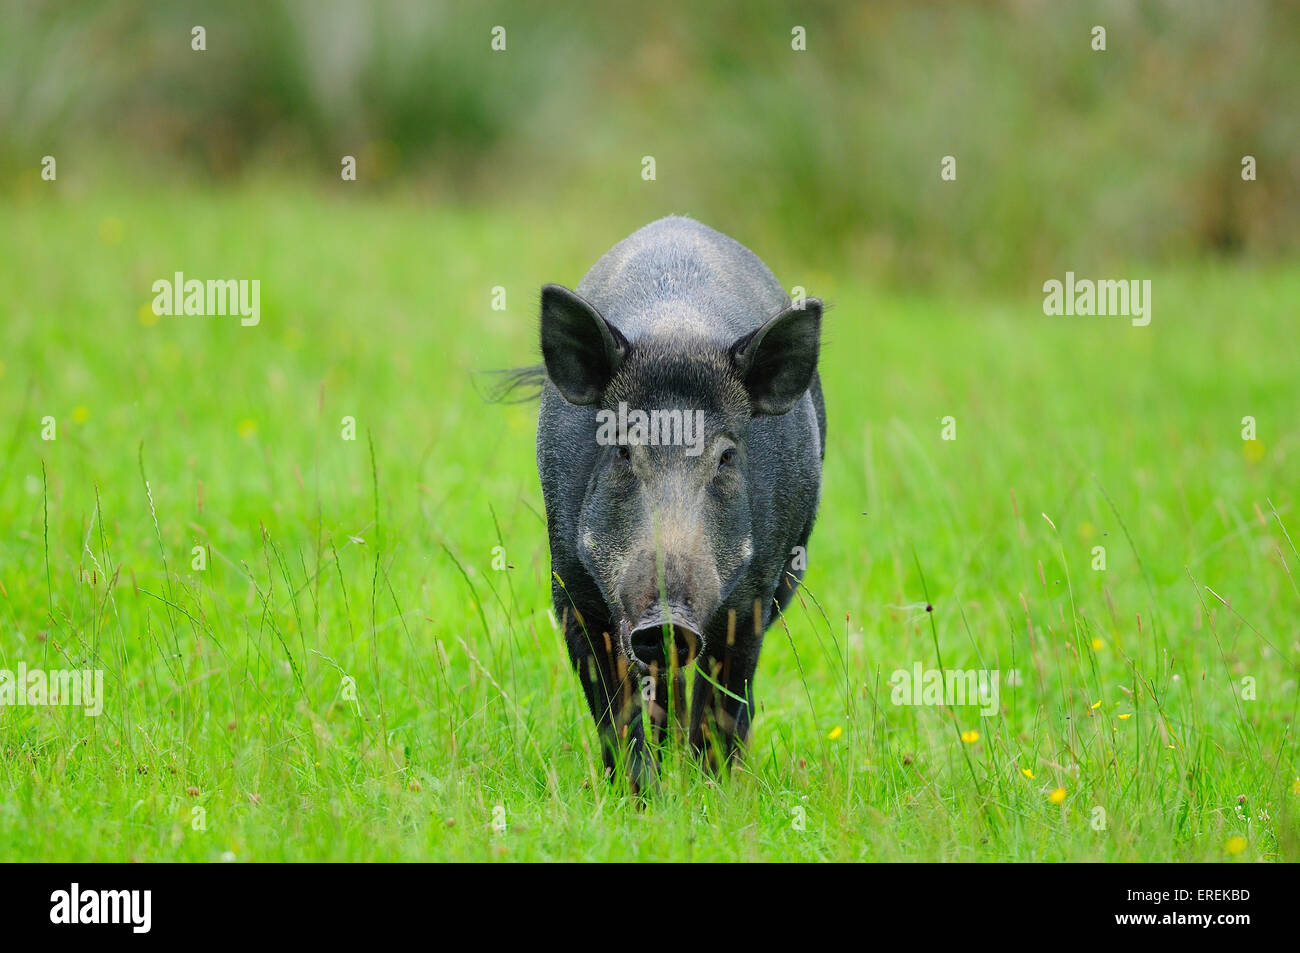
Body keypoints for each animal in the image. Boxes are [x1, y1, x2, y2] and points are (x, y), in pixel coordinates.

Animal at [534, 216, 825, 790]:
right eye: (622, 448)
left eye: (727, 456)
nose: (668, 619)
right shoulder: (574, 592)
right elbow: (615, 712)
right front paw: (640, 798)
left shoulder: (752, 597)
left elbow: (723, 708)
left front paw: (711, 795)